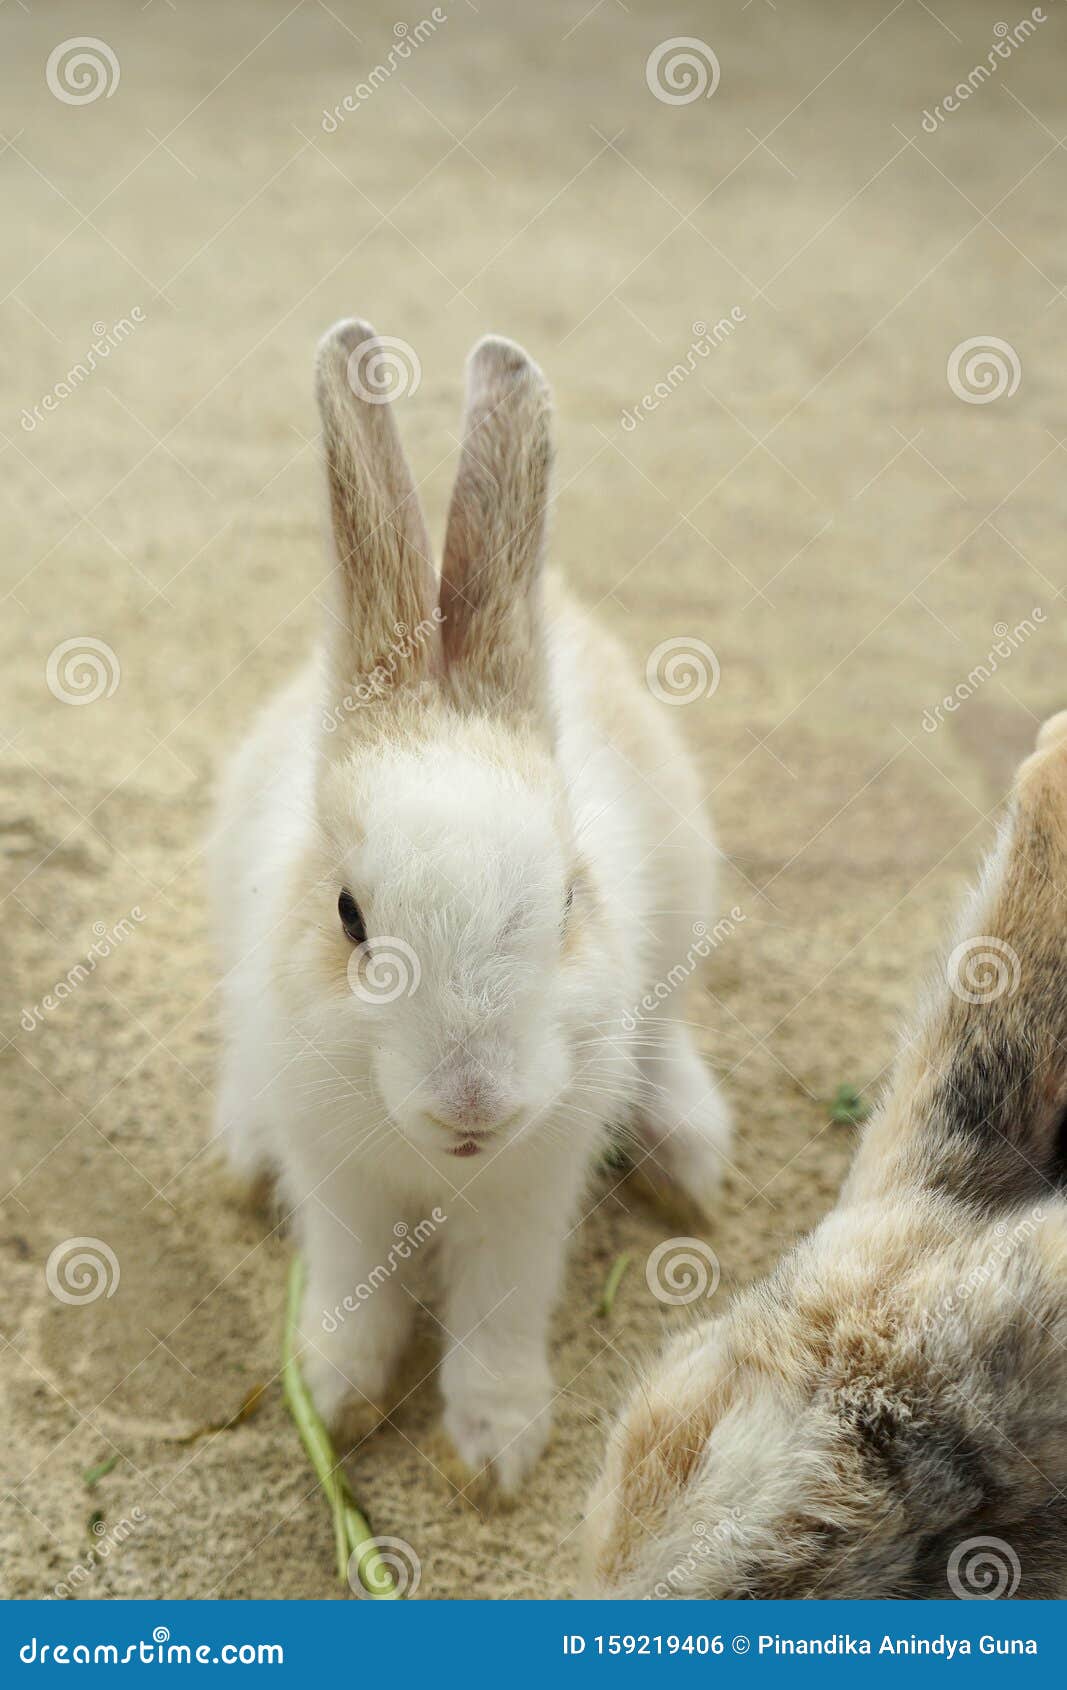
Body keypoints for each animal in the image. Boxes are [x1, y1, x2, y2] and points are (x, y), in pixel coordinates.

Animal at [209, 320, 732, 1494]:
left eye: (569, 898)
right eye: (350, 917)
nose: (473, 1104)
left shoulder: (527, 1193)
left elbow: (497, 1312)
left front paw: (494, 1454)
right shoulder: (342, 1184)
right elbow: (355, 1285)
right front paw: (336, 1400)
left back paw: (686, 1153)